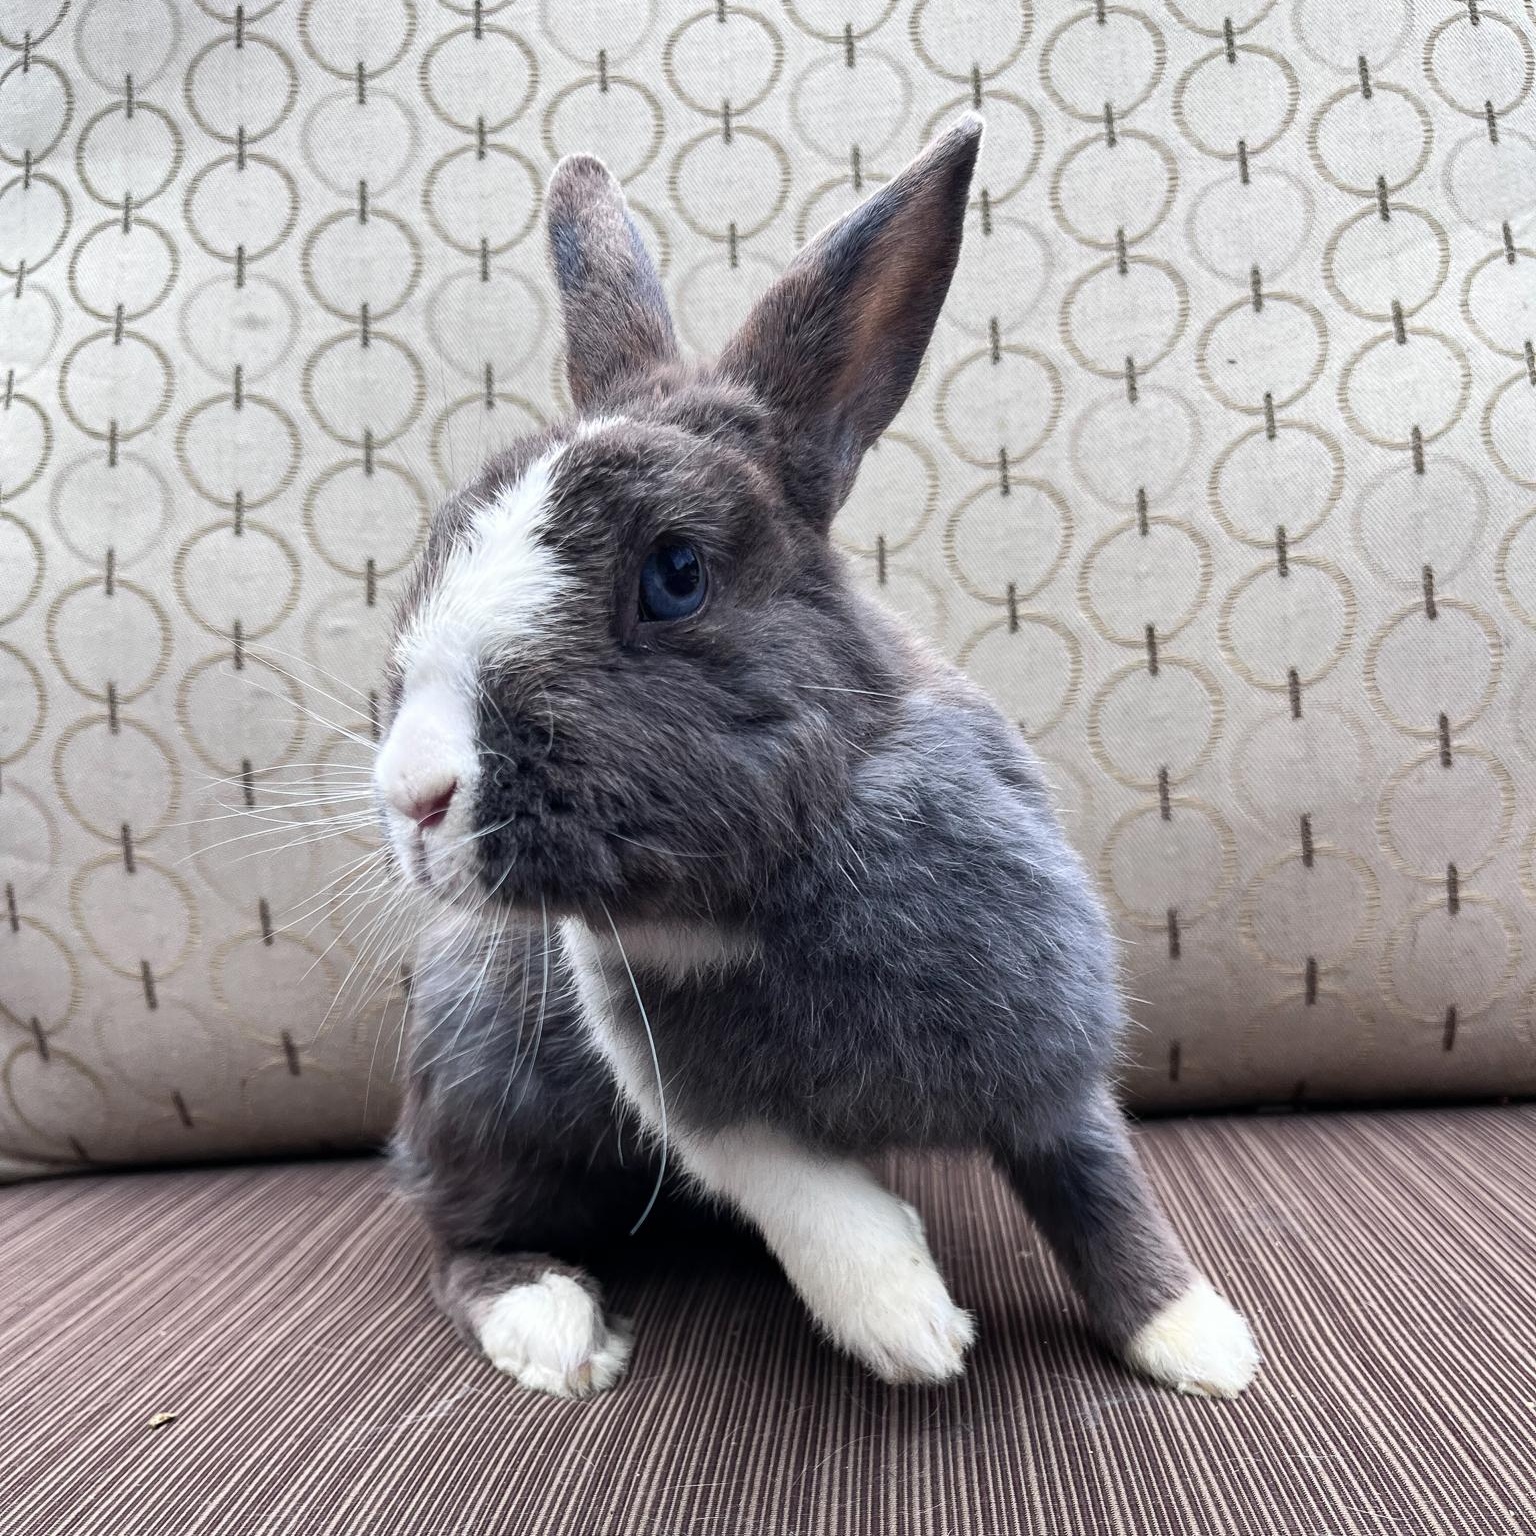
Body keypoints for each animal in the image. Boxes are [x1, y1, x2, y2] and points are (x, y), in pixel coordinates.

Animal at [373, 115, 1259, 1401]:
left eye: (676, 573)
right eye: (438, 543)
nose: (415, 795)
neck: (776, 889)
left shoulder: (1053, 1047)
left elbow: (1101, 1187)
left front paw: (1199, 1345)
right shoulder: (687, 1090)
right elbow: (800, 1187)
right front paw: (908, 1322)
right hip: (485, 1092)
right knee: (456, 1238)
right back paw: (551, 1326)